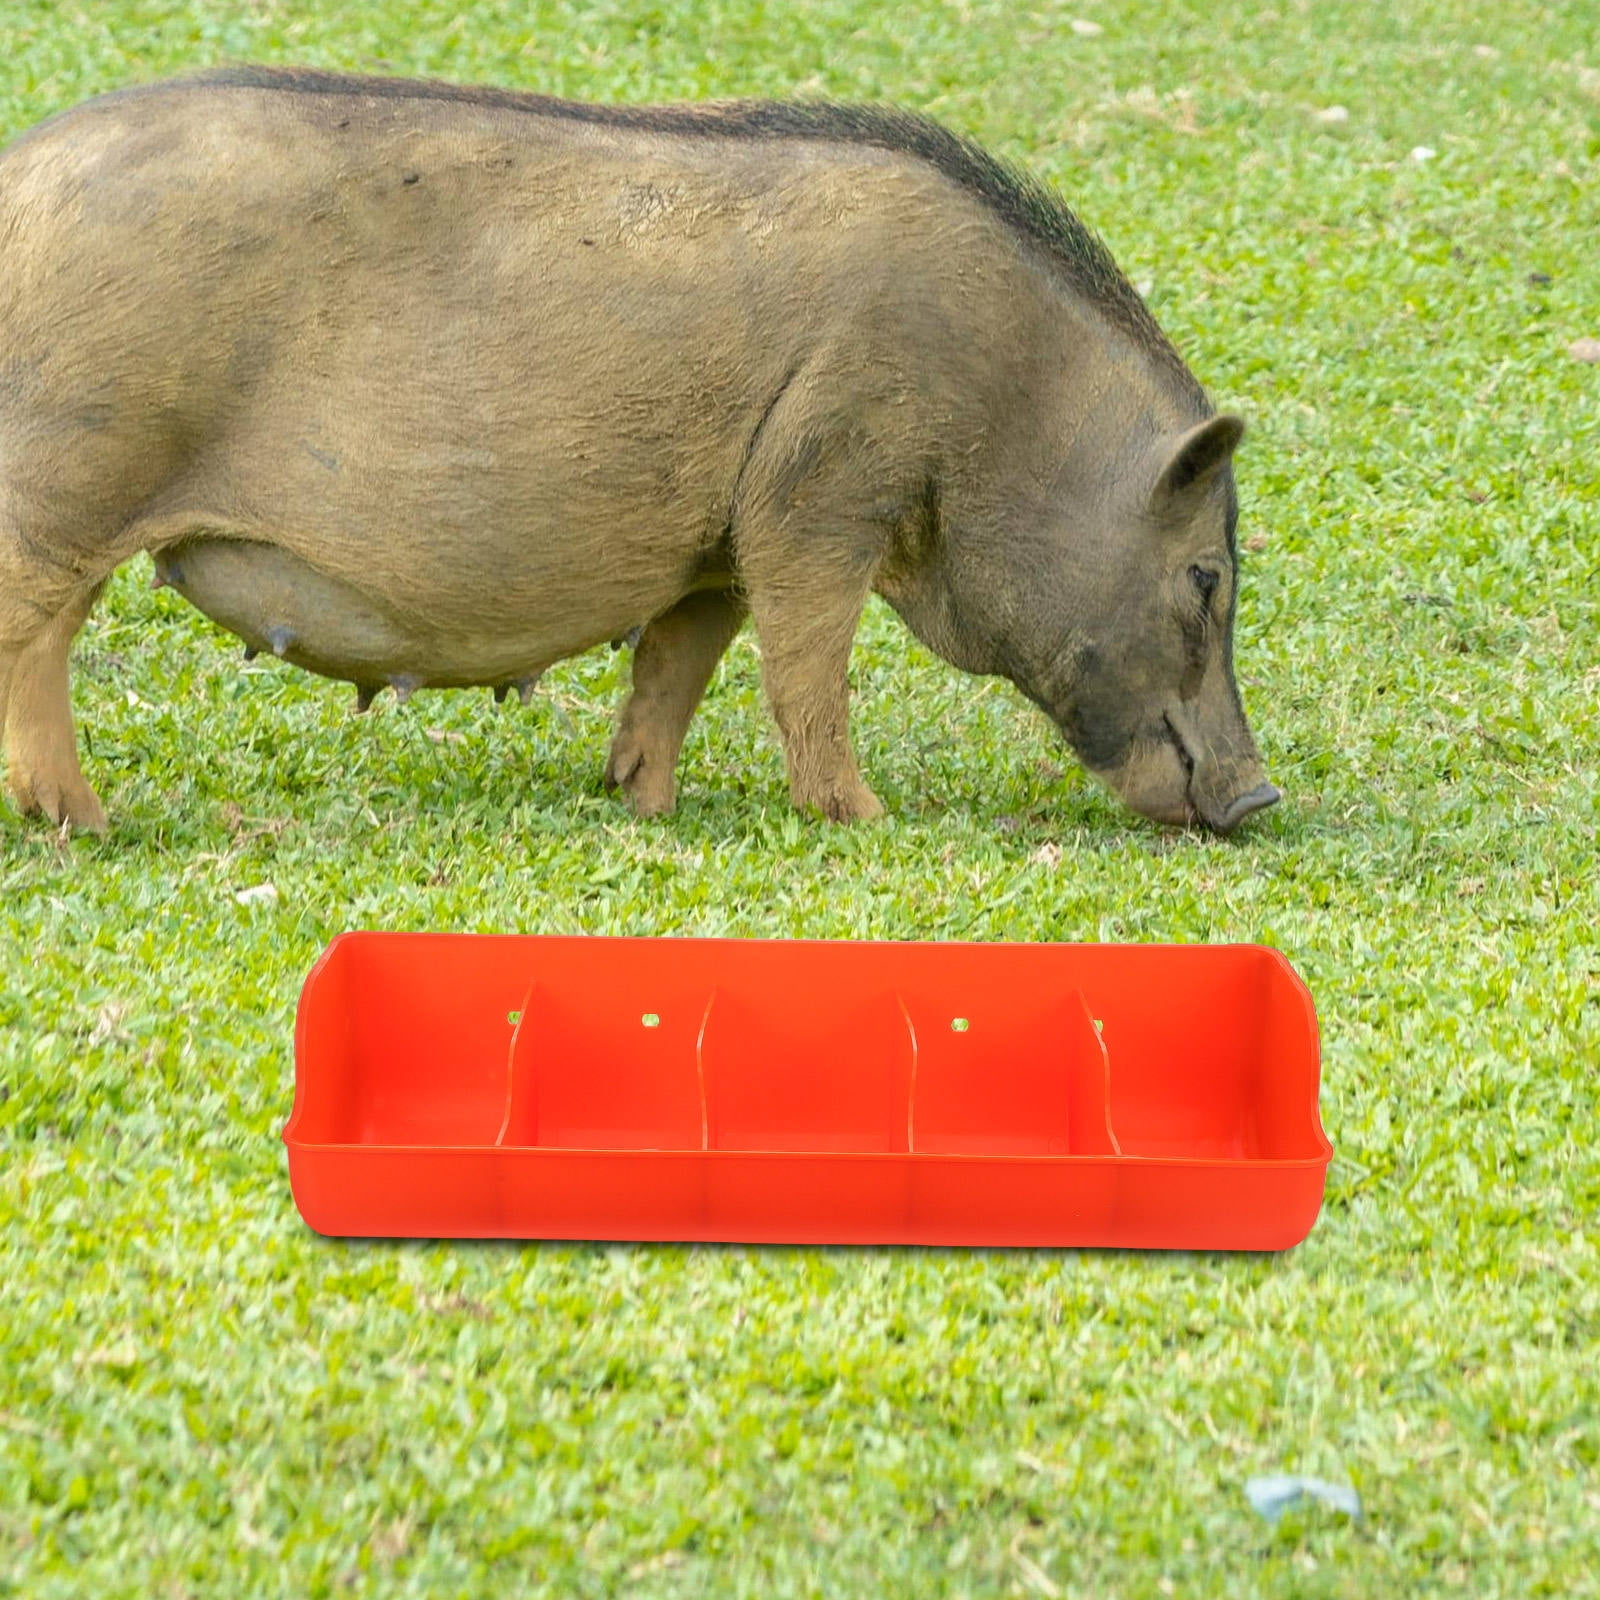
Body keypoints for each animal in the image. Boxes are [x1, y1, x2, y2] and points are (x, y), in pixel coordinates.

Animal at [0, 67, 1279, 835]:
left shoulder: (716, 538)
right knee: (32, 635)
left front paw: (641, 804)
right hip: (72, 469)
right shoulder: (821, 487)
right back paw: (84, 824)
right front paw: (860, 818)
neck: (1007, 402)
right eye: (1207, 577)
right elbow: (804, 661)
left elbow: (677, 662)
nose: (1261, 797)